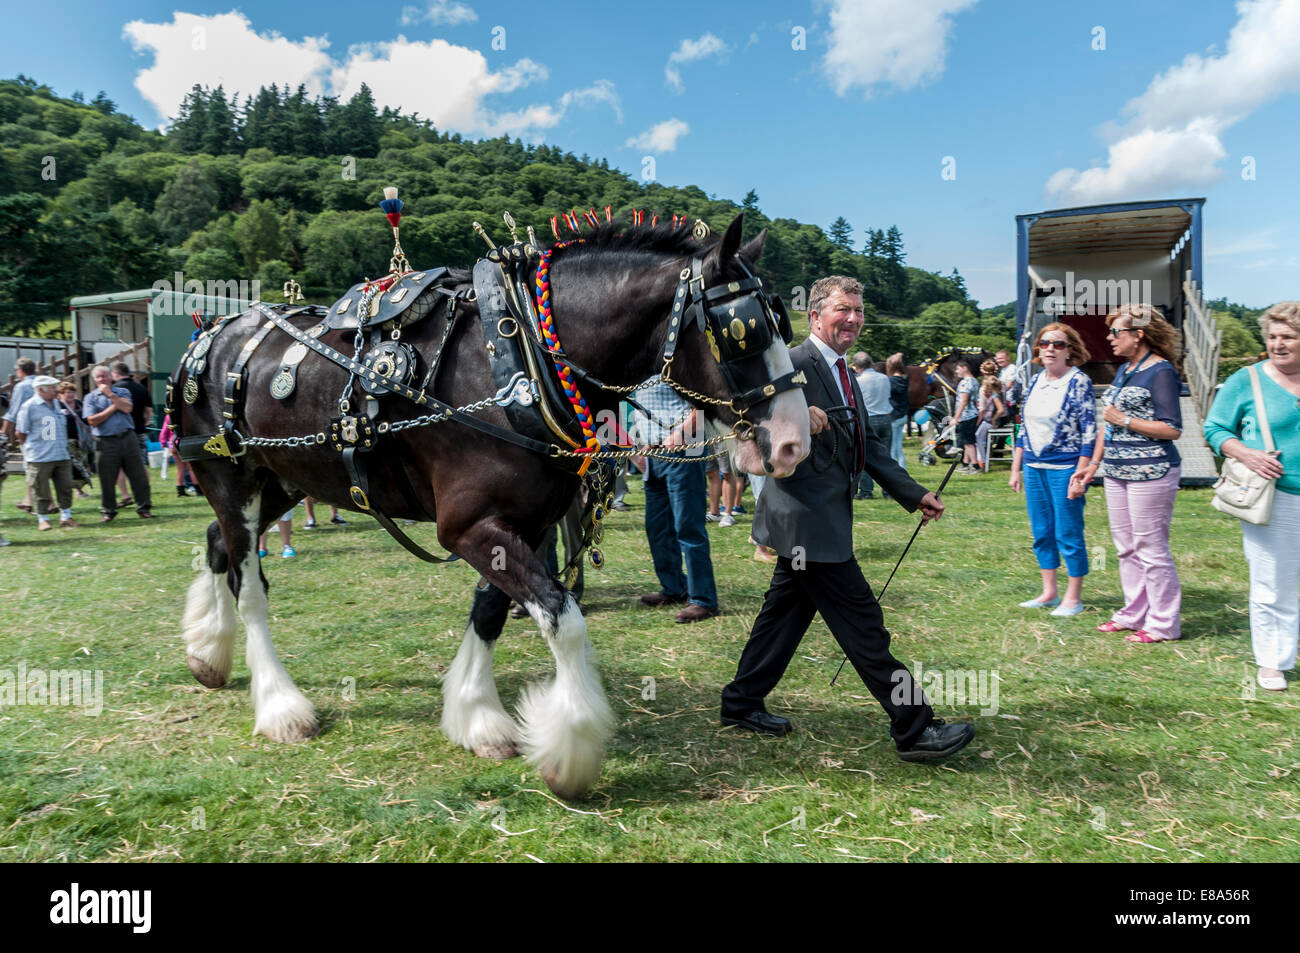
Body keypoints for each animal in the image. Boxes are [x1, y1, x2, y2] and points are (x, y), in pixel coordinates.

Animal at [173, 213, 810, 800]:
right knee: (249, 584)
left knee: (217, 543)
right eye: (743, 331)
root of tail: (208, 334)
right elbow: (562, 618)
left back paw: (208, 652)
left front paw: (477, 716)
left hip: (283, 477)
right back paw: (280, 705)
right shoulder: (469, 527)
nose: (794, 442)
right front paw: (570, 753)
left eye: (782, 321)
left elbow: (491, 612)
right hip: (229, 475)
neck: (521, 361)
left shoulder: (523, 523)